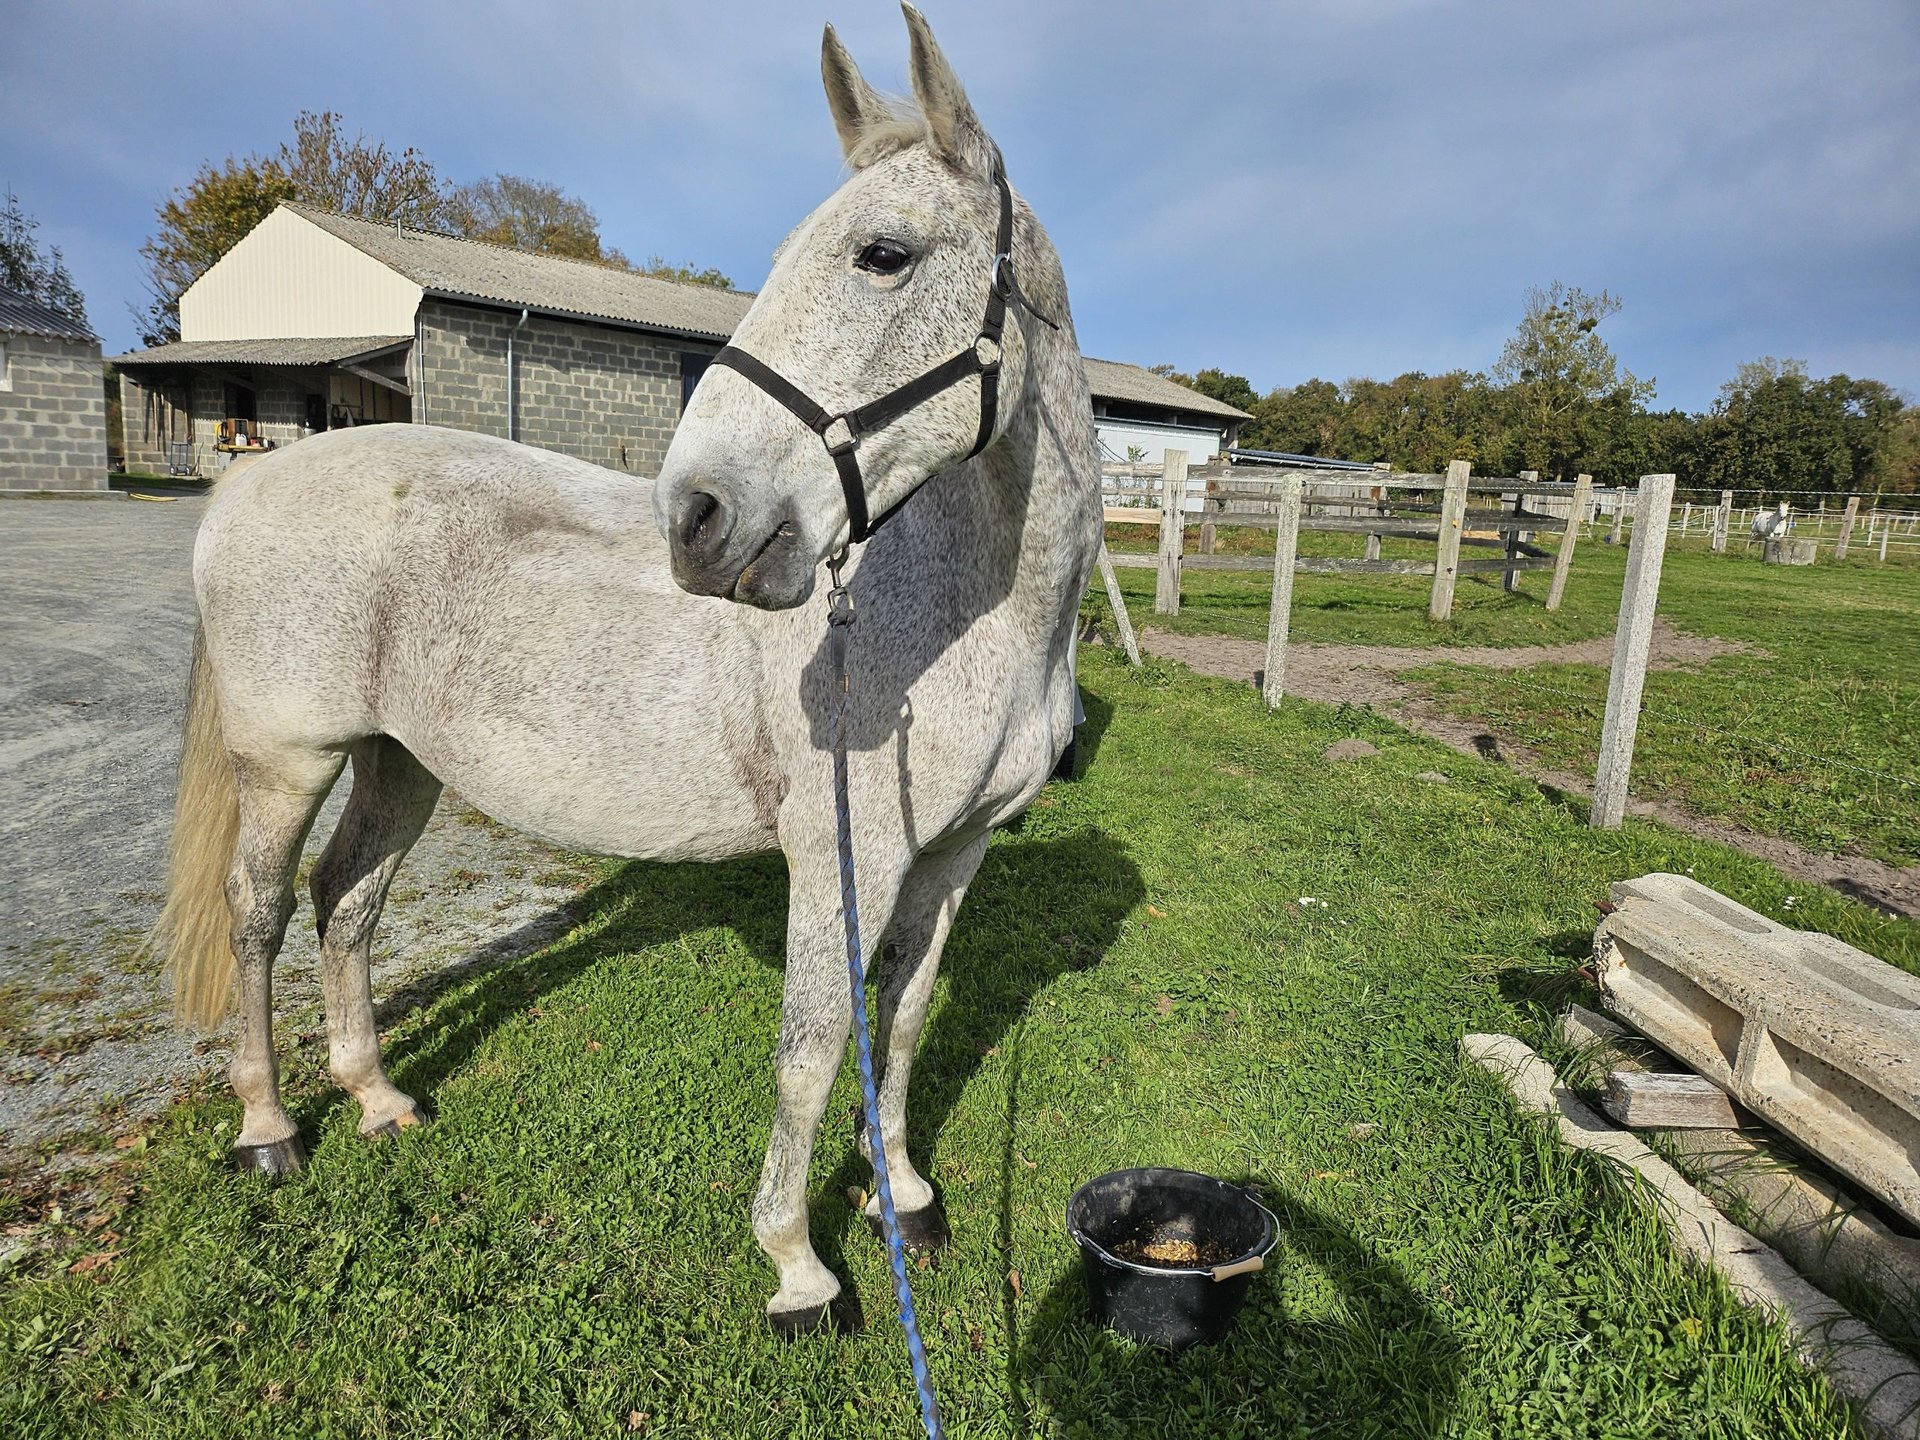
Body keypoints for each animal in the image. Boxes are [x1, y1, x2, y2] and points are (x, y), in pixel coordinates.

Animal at [151, 3, 1099, 1335]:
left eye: (883, 255)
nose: (699, 518)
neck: (969, 617)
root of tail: (246, 484)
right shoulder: (843, 856)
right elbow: (816, 1047)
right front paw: (799, 1265)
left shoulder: (953, 853)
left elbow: (904, 1021)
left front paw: (901, 1195)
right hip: (288, 760)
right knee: (261, 914)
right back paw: (269, 1128)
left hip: (401, 765)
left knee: (348, 904)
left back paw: (377, 1098)